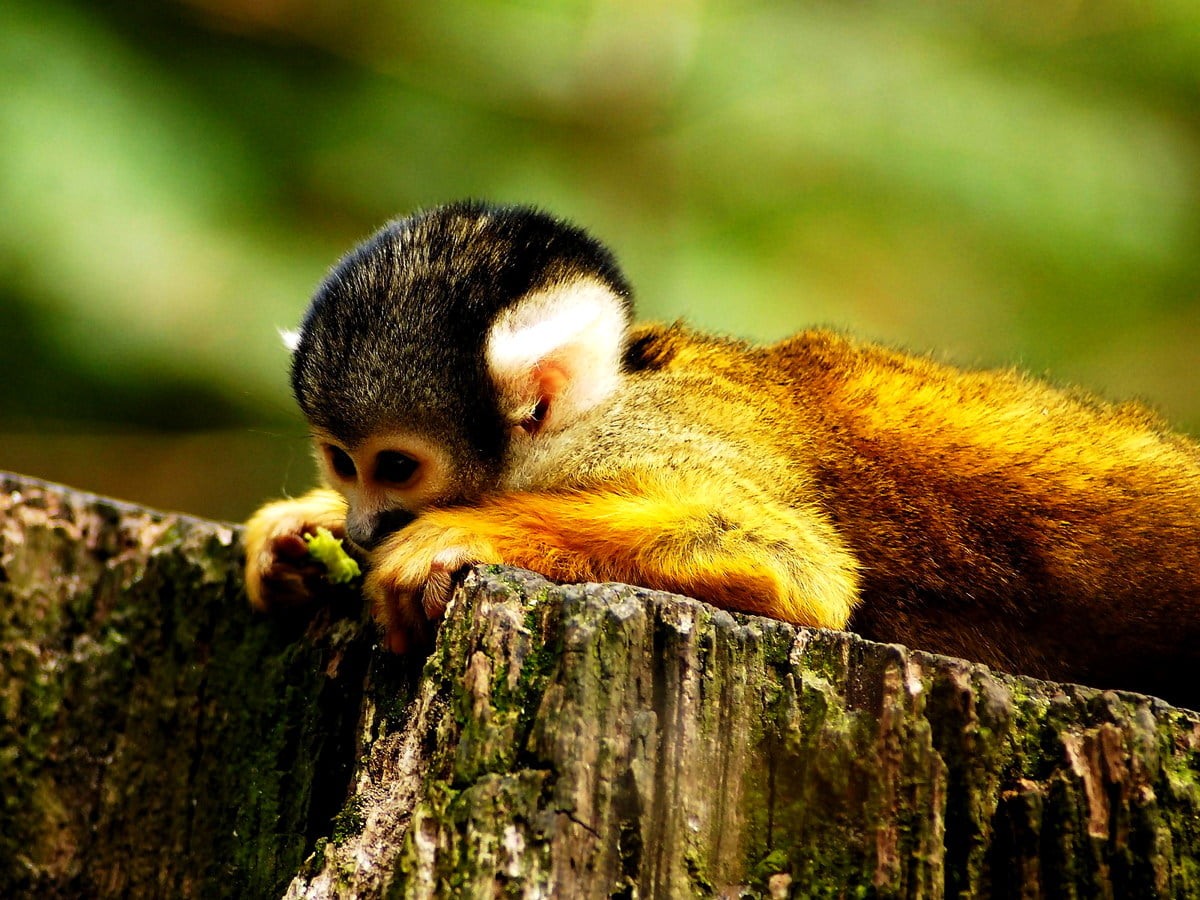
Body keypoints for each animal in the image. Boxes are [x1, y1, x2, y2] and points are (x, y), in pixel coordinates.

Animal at [244, 200, 1200, 709]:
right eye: (341, 462)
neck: (602, 406)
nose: (364, 528)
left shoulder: (651, 439)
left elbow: (792, 567)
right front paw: (298, 530)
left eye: (396, 467)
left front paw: (452, 538)